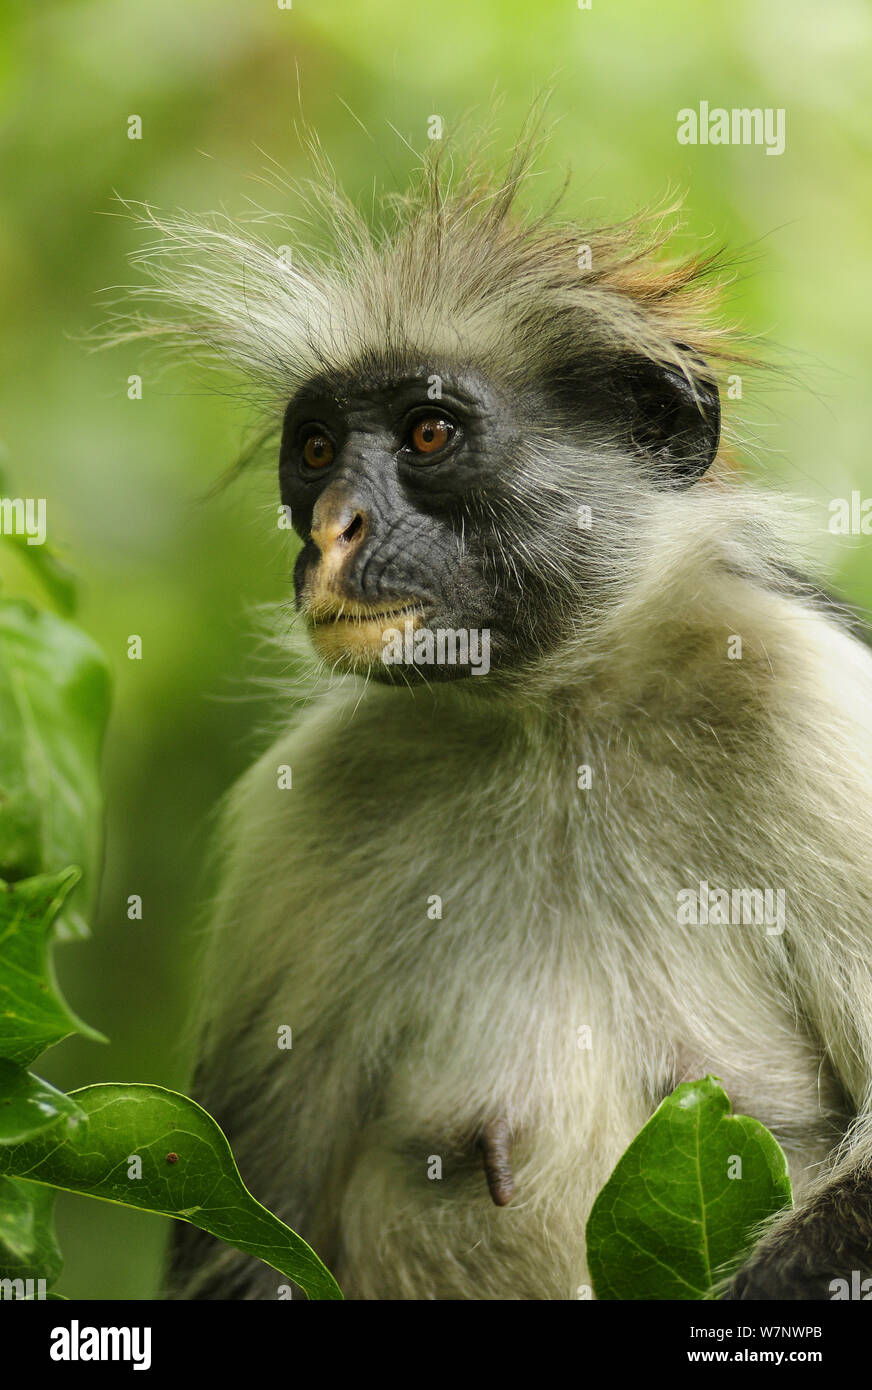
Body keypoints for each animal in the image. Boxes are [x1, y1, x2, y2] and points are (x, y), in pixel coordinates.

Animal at [119, 130, 872, 1301]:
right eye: (317, 450)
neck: (556, 719)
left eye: (428, 432)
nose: (332, 529)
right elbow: (245, 1240)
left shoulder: (813, 709)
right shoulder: (302, 816)